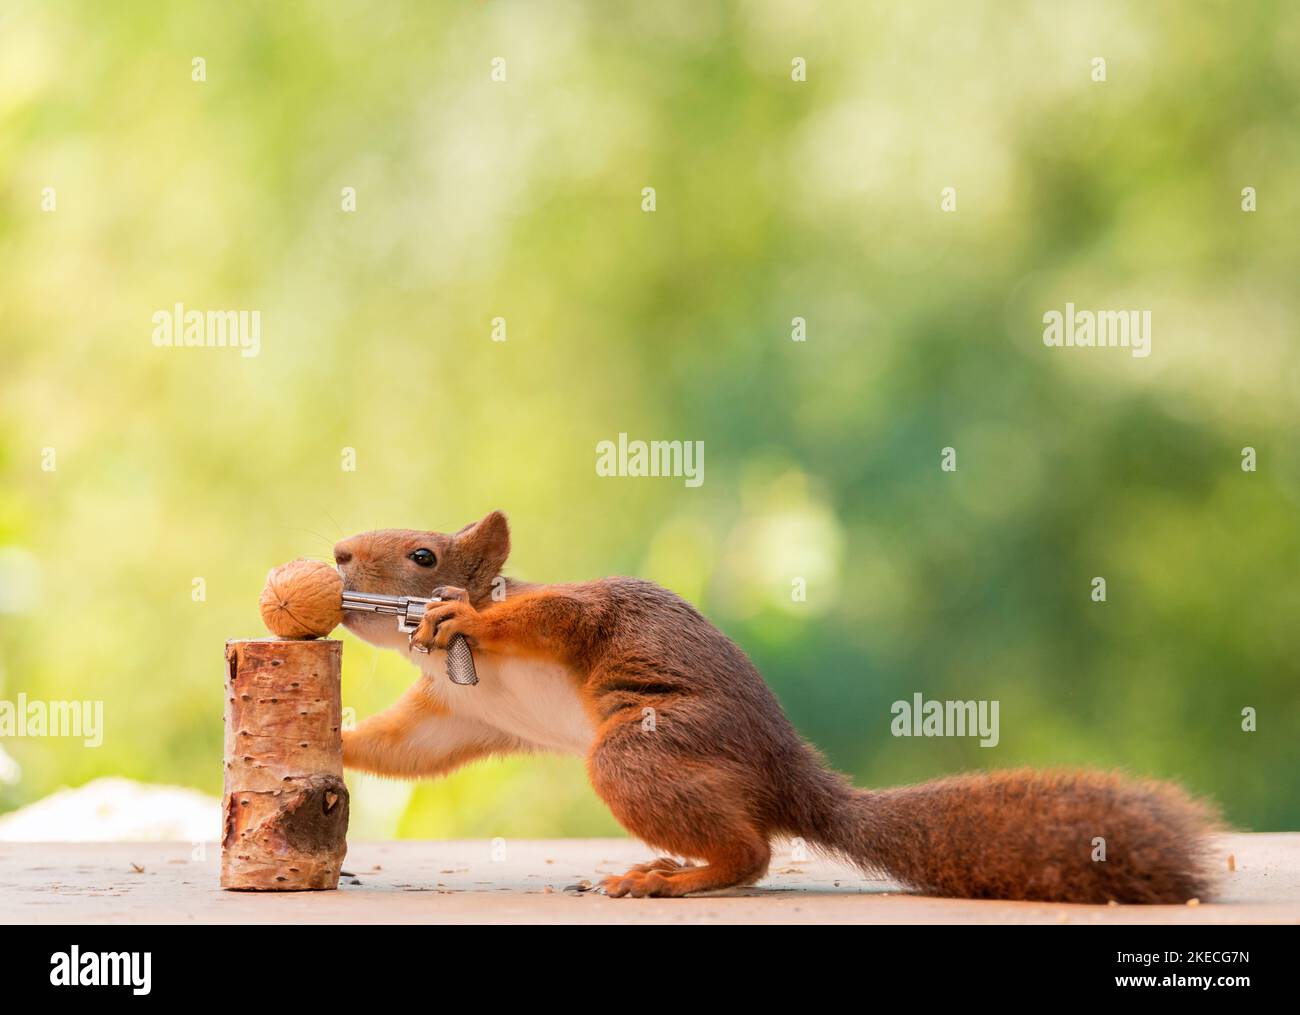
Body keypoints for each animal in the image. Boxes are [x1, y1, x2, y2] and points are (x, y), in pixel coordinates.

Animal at [336, 510, 1219, 903]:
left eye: (423, 554)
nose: (338, 552)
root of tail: (788, 775)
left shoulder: (569, 616)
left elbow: (555, 614)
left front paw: (469, 614)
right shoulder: (458, 716)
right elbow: (402, 748)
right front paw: (326, 743)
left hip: (641, 746)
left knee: (753, 853)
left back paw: (676, 879)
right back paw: (672, 866)